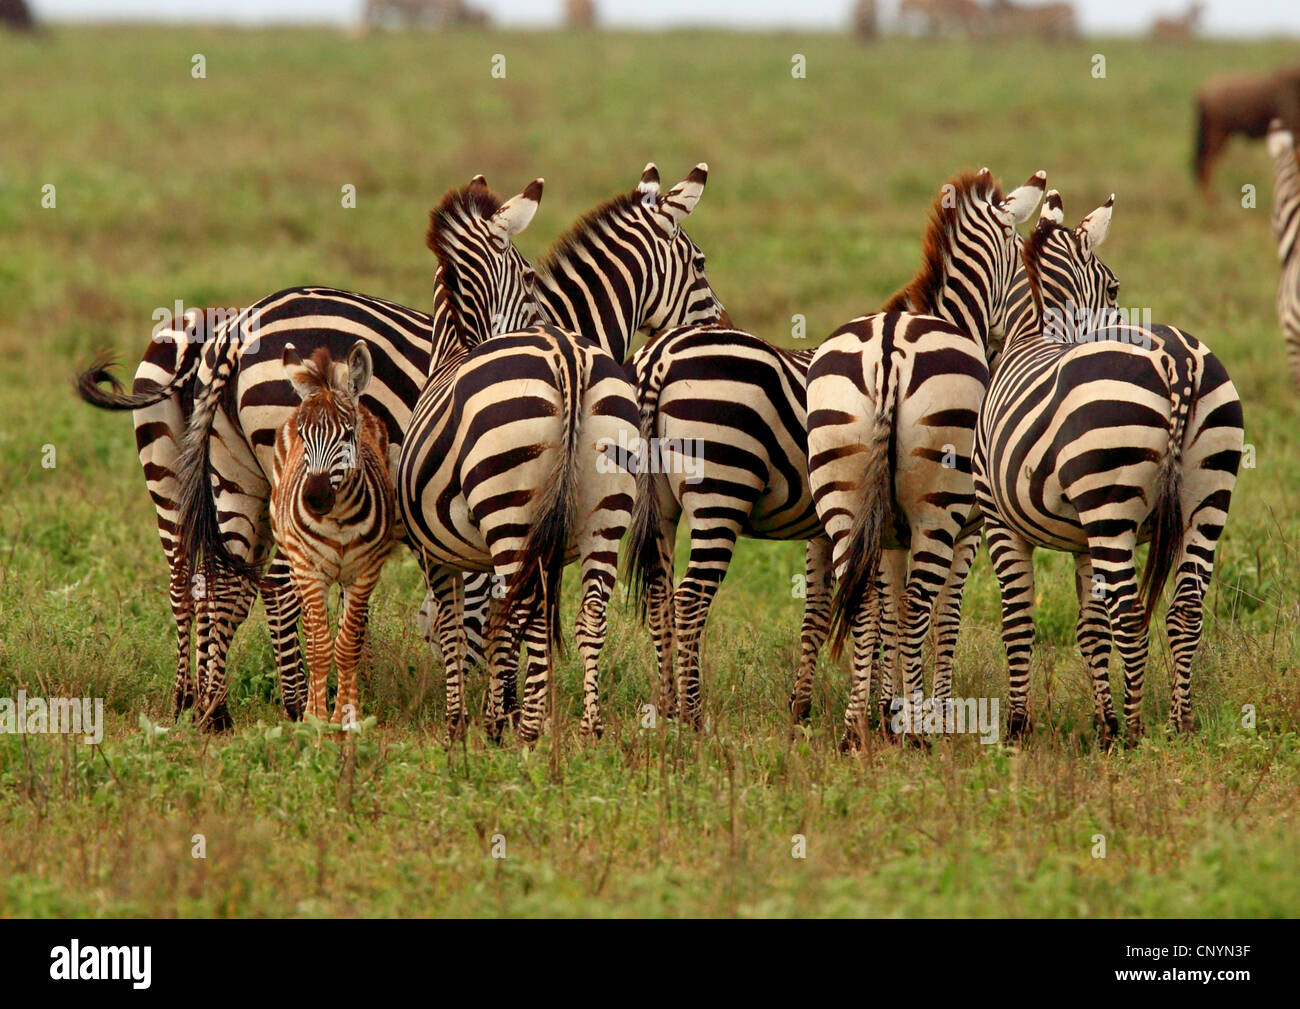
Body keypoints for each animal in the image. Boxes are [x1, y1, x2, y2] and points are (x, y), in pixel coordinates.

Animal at [270, 342, 396, 725]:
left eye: (348, 434)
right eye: (303, 436)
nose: (315, 499)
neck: (338, 519)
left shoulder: (365, 572)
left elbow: (348, 644)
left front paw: (347, 716)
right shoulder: (310, 570)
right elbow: (319, 647)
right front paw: (315, 718)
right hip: (296, 561)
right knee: (310, 630)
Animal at [804, 168, 1046, 749]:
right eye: (1020, 255)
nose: (1032, 323)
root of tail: (890, 345)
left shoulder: (889, 532)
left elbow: (886, 611)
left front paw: (883, 705)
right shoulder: (968, 532)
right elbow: (944, 617)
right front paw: (928, 709)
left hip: (842, 491)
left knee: (865, 599)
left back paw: (853, 731)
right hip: (939, 508)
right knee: (919, 602)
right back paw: (918, 733)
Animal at [973, 192, 1244, 744]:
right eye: (1115, 286)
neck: (1032, 334)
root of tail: (1179, 358)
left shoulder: (998, 520)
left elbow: (1018, 622)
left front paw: (1017, 728)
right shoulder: (1083, 539)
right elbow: (1090, 628)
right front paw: (1103, 724)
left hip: (1110, 503)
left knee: (1130, 611)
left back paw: (1137, 730)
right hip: (1209, 493)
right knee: (1185, 609)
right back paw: (1179, 724)